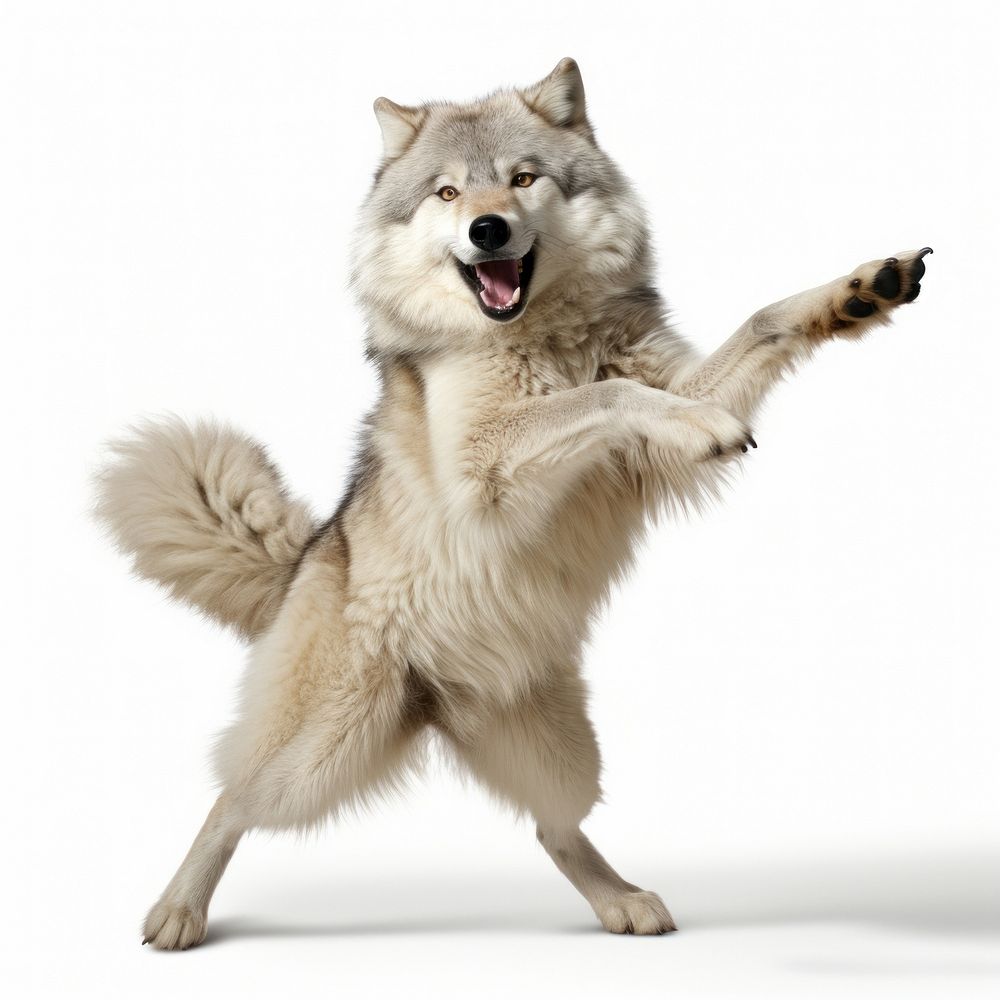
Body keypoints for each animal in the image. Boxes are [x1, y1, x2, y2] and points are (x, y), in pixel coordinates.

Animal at [96, 58, 932, 948]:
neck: (540, 336)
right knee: (230, 799)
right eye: (447, 193)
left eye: (522, 179)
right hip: (323, 750)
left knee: (552, 828)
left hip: (567, 755)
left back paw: (622, 902)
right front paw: (696, 422)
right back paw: (176, 912)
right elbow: (610, 395)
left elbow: (760, 320)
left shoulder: (667, 395)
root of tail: (306, 554)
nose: (489, 230)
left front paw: (862, 290)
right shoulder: (483, 466)